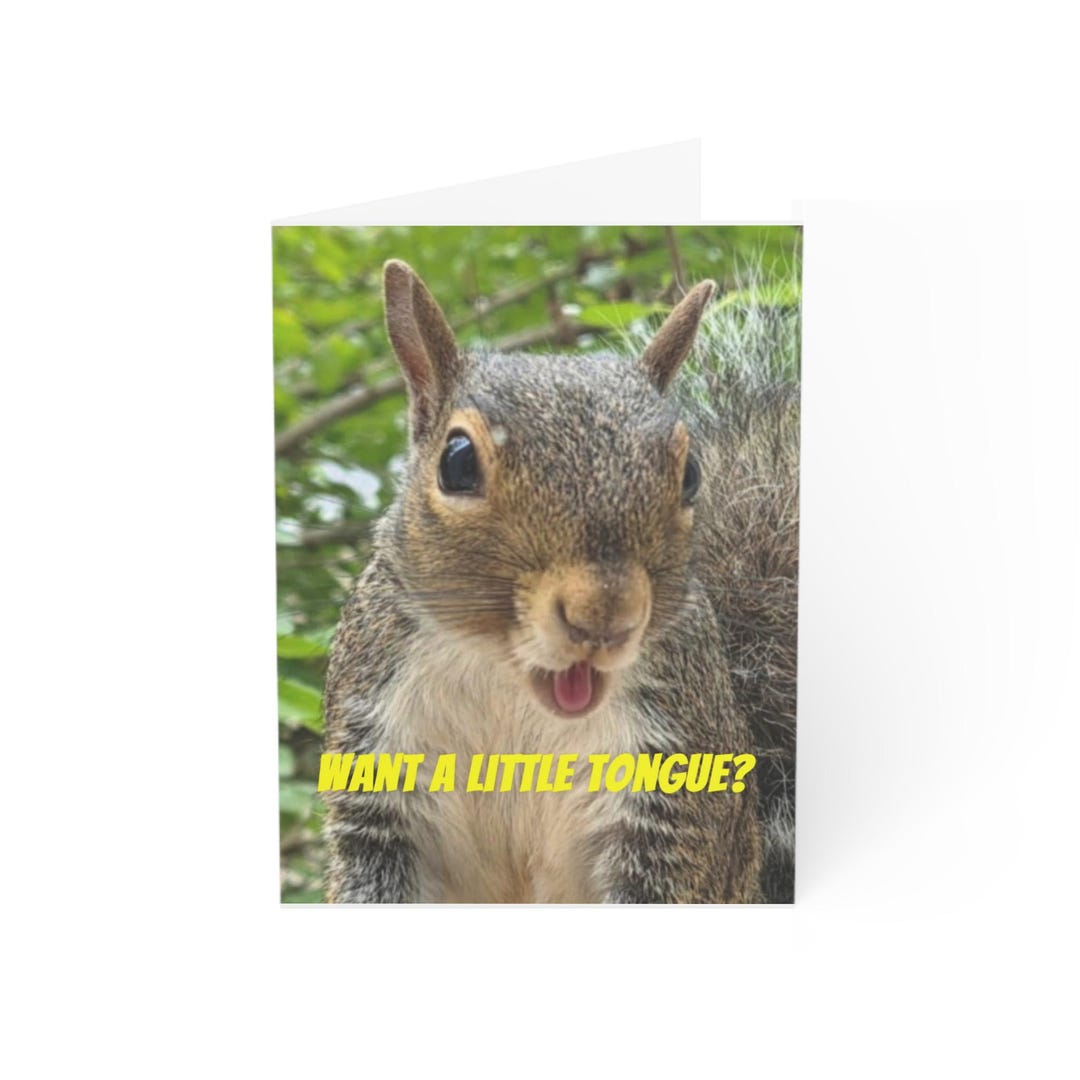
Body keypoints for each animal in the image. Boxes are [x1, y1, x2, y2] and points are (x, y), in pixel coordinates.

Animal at [322, 259, 799, 903]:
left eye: (692, 473)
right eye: (457, 462)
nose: (604, 616)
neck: (507, 681)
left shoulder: (673, 788)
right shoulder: (374, 763)